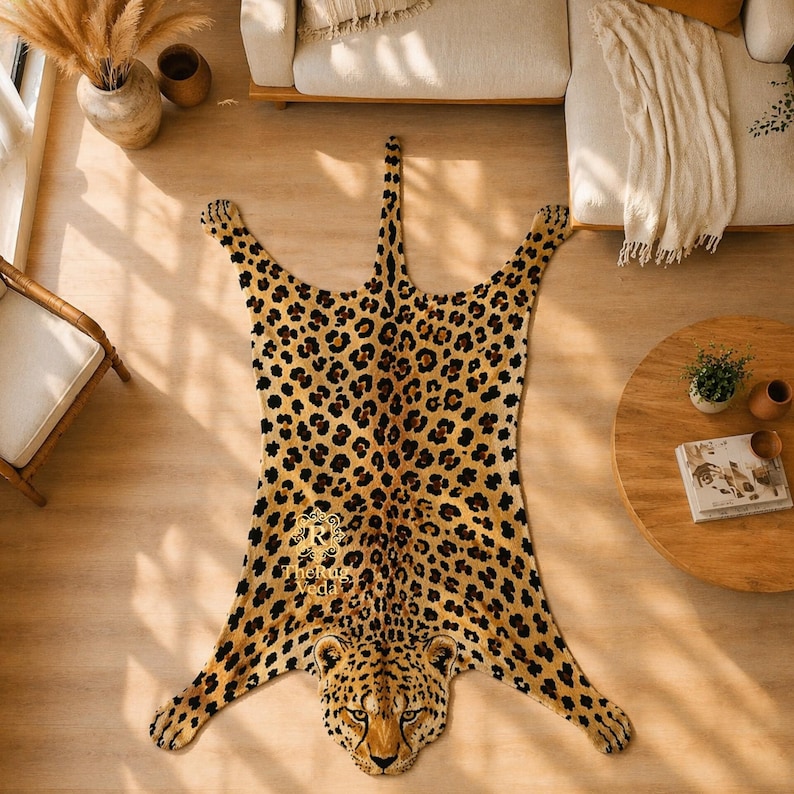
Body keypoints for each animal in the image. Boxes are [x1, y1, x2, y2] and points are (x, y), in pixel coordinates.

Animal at [150, 137, 632, 776]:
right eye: (356, 714)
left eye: (413, 714)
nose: (381, 764)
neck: (383, 609)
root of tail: (388, 293)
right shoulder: (269, 616)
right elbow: (226, 664)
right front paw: (181, 711)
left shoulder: (506, 624)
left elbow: (554, 670)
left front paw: (602, 715)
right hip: (286, 312)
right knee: (259, 267)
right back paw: (223, 218)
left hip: (490, 312)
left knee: (514, 275)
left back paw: (548, 224)